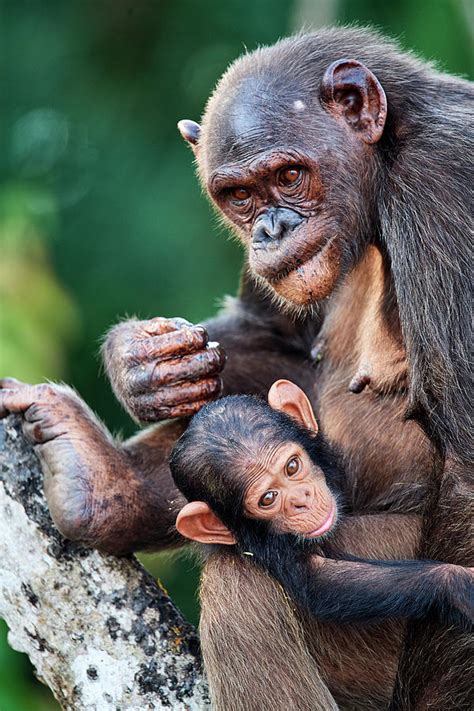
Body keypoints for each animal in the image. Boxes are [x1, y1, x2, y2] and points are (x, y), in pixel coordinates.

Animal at [170, 379, 473, 631]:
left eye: (292, 467)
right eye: (268, 499)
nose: (301, 500)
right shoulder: (269, 550)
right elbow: (318, 582)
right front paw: (454, 584)